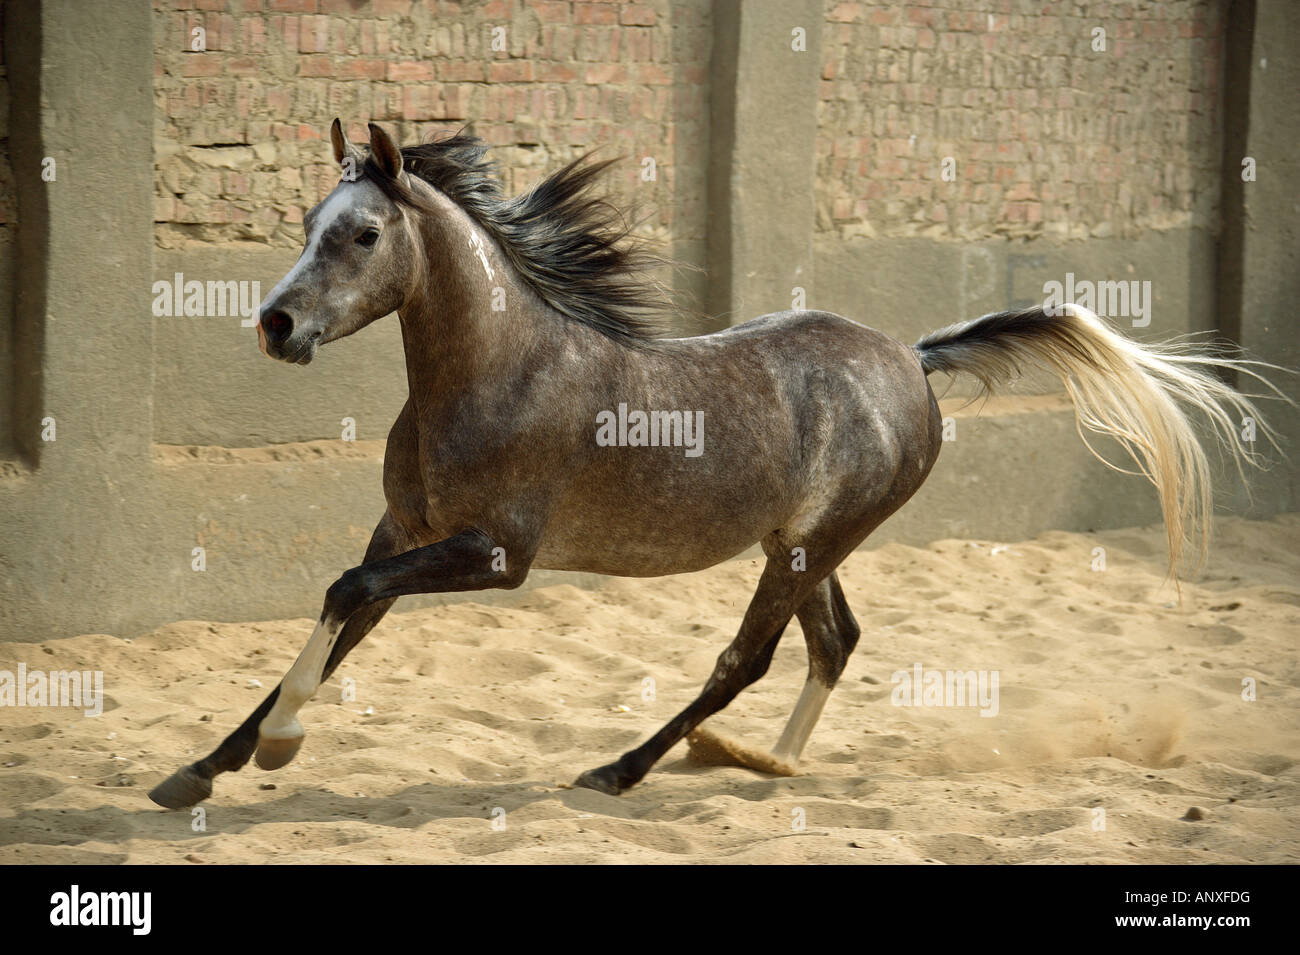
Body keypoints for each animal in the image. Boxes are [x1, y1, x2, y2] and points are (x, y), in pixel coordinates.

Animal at [149, 120, 1280, 809]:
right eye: (308, 224)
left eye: (362, 233)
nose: (274, 324)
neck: (498, 370)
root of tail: (910, 361)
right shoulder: (408, 532)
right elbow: (343, 617)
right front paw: (201, 769)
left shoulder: (497, 557)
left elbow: (345, 595)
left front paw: (278, 745)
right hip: (806, 545)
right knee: (835, 641)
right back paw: (764, 761)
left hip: (810, 545)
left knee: (750, 658)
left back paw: (620, 769)